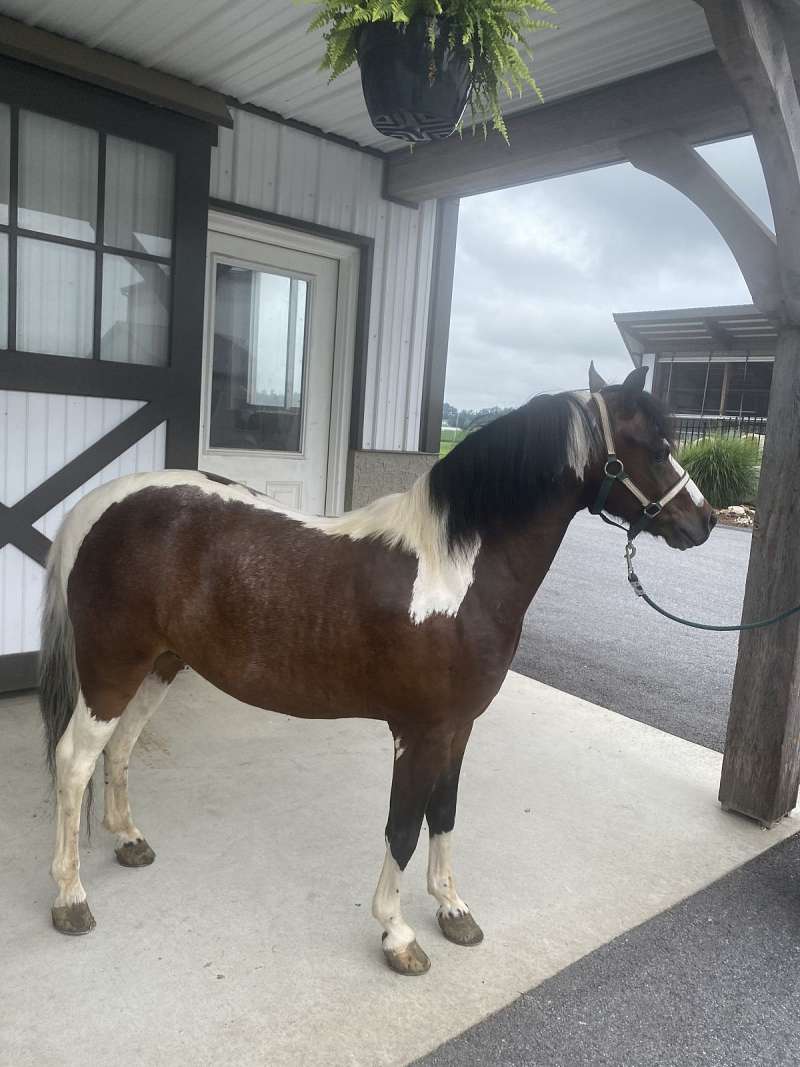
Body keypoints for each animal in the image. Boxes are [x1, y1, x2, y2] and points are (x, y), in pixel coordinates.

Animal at [38, 363, 715, 975]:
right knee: (74, 761)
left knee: (120, 748)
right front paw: (398, 934)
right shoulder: (418, 732)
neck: (455, 572)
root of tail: (92, 507)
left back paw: (129, 840)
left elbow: (444, 814)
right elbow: (404, 828)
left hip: (159, 664)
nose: (704, 521)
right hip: (110, 669)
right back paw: (70, 898)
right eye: (658, 447)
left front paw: (452, 910)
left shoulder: (458, 728)